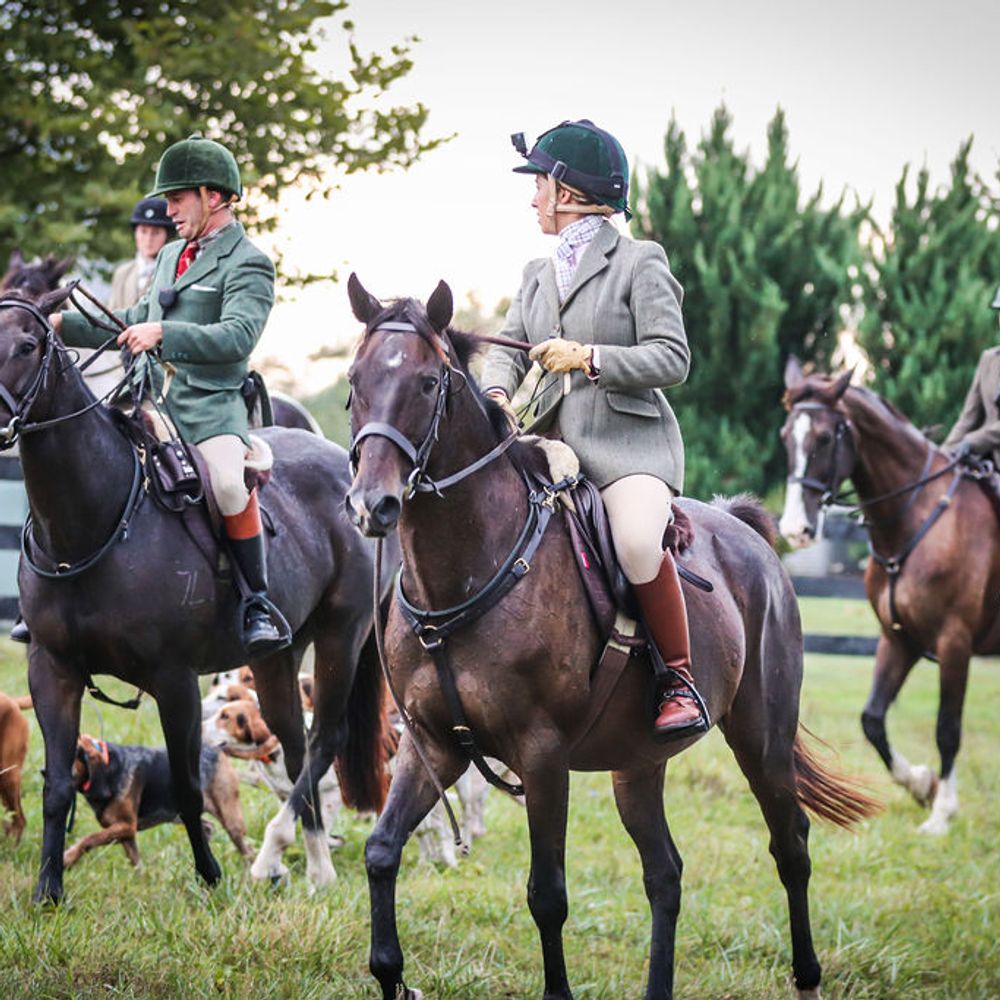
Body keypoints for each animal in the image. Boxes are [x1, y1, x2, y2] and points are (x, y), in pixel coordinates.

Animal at [0, 284, 398, 903]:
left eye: (25, 345)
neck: (94, 521)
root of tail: (349, 472)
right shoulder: (52, 669)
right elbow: (57, 786)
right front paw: (48, 891)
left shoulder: (174, 680)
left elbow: (188, 783)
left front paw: (209, 874)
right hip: (279, 657)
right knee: (294, 740)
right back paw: (311, 862)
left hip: (342, 636)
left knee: (323, 739)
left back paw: (292, 857)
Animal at [343, 275, 878, 1000]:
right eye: (354, 380)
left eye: (428, 383)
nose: (372, 505)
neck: (466, 571)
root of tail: (745, 532)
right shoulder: (433, 744)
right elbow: (380, 853)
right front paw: (392, 972)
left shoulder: (541, 755)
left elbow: (547, 894)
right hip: (638, 762)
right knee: (665, 873)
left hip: (761, 738)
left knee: (789, 844)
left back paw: (808, 975)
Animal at [779, 357, 999, 835]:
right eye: (787, 435)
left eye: (825, 437)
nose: (794, 529)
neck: (919, 519)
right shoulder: (897, 639)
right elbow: (872, 720)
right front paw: (921, 784)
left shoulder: (954, 643)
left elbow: (947, 728)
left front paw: (942, 812)